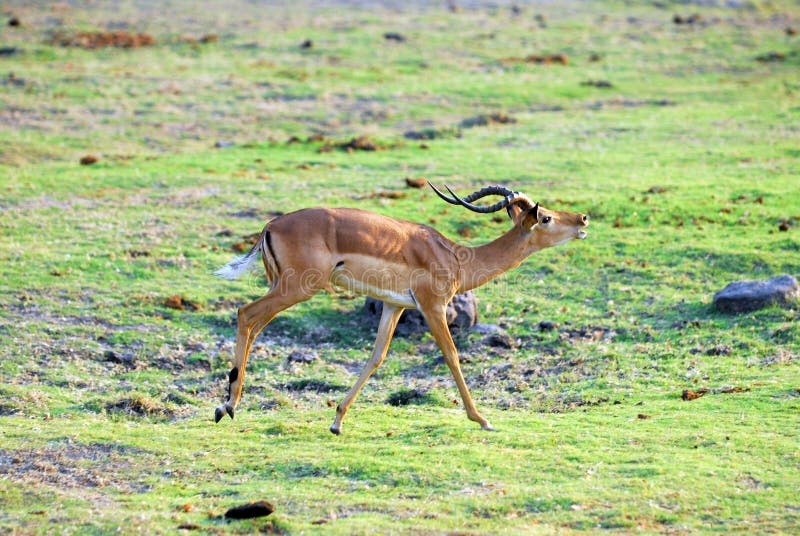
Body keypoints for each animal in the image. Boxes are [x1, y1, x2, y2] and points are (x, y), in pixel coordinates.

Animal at [214, 184, 588, 434]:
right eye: (546, 217)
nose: (583, 218)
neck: (457, 258)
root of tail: (270, 226)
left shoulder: (393, 305)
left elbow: (377, 356)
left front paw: (337, 420)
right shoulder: (433, 306)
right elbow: (452, 355)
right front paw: (482, 419)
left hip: (285, 287)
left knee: (252, 322)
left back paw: (228, 404)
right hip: (297, 288)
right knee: (246, 314)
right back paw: (226, 406)